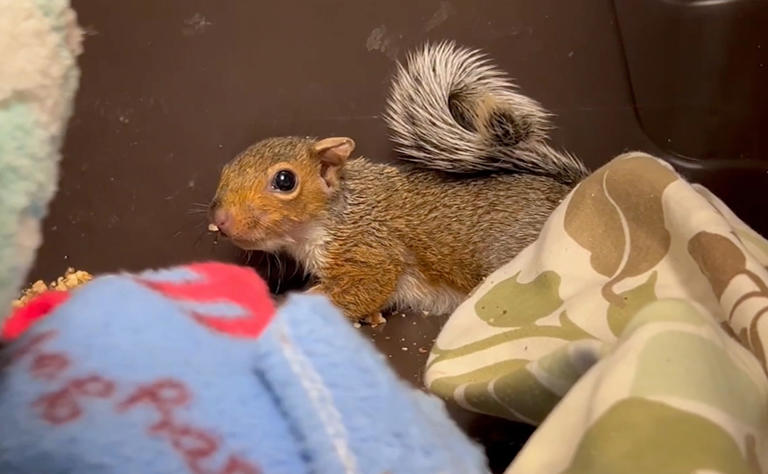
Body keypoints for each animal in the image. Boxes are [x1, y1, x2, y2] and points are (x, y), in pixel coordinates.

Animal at [208, 42, 588, 323]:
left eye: (285, 180)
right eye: (223, 172)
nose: (221, 221)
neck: (337, 215)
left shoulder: (373, 249)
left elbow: (364, 289)